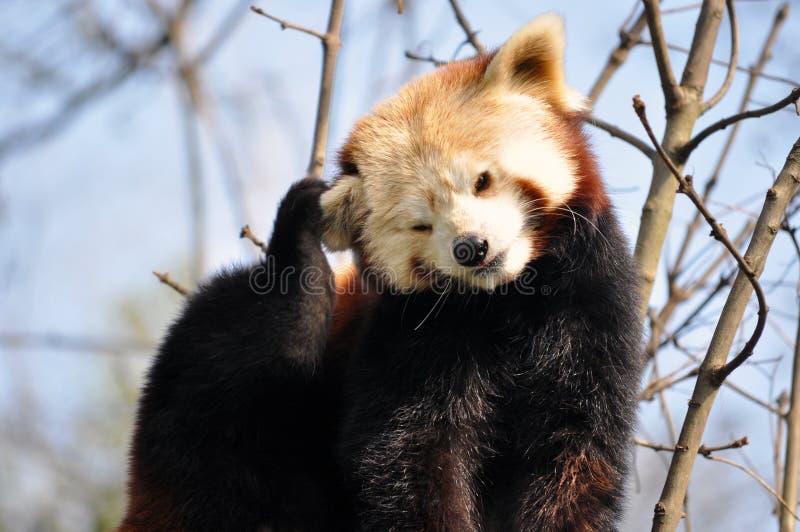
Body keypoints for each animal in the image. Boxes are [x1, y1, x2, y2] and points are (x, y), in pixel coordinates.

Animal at [121, 14, 642, 532]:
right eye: (421, 224)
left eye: (482, 181)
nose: (471, 248)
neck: (507, 301)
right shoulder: (409, 339)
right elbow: (406, 455)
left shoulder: (591, 318)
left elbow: (574, 453)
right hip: (213, 404)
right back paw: (297, 253)